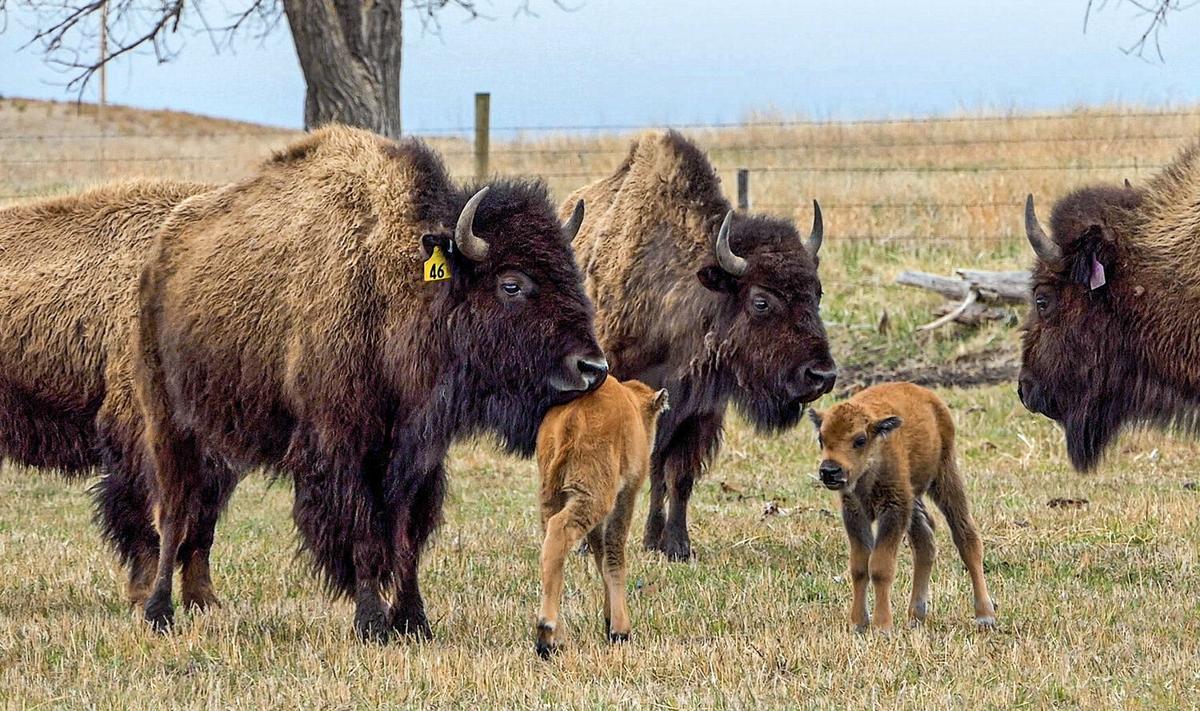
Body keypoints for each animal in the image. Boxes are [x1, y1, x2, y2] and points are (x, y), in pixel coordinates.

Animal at [130, 126, 607, 640]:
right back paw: (158, 612)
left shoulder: (417, 454)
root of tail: (157, 258)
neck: (393, 282)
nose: (592, 368)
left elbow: (406, 535)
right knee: (173, 513)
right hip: (170, 424)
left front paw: (414, 620)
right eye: (512, 283)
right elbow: (363, 532)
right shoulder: (346, 447)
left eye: (573, 274)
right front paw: (373, 622)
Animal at [563, 131, 836, 560]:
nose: (821, 375)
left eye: (816, 293)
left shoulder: (696, 414)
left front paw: (676, 546)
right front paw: (591, 547)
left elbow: (677, 476)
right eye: (761, 301)